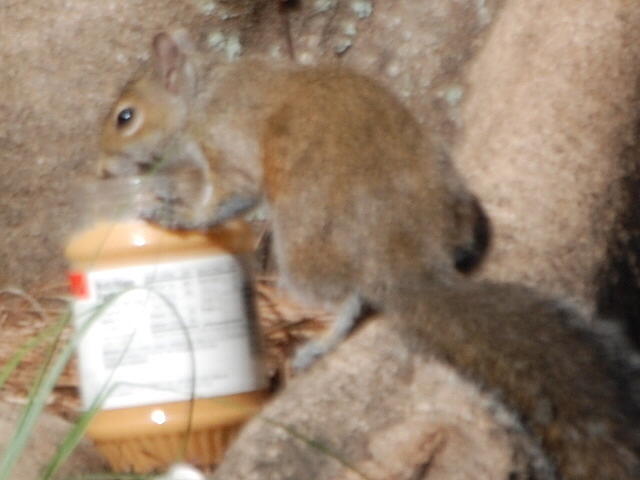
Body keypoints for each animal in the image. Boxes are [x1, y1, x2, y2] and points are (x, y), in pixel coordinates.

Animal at [98, 31, 639, 477]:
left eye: (126, 117)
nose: (102, 170)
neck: (204, 92)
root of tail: (408, 261)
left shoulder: (228, 146)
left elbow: (229, 196)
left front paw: (177, 214)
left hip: (302, 247)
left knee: (347, 298)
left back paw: (319, 343)